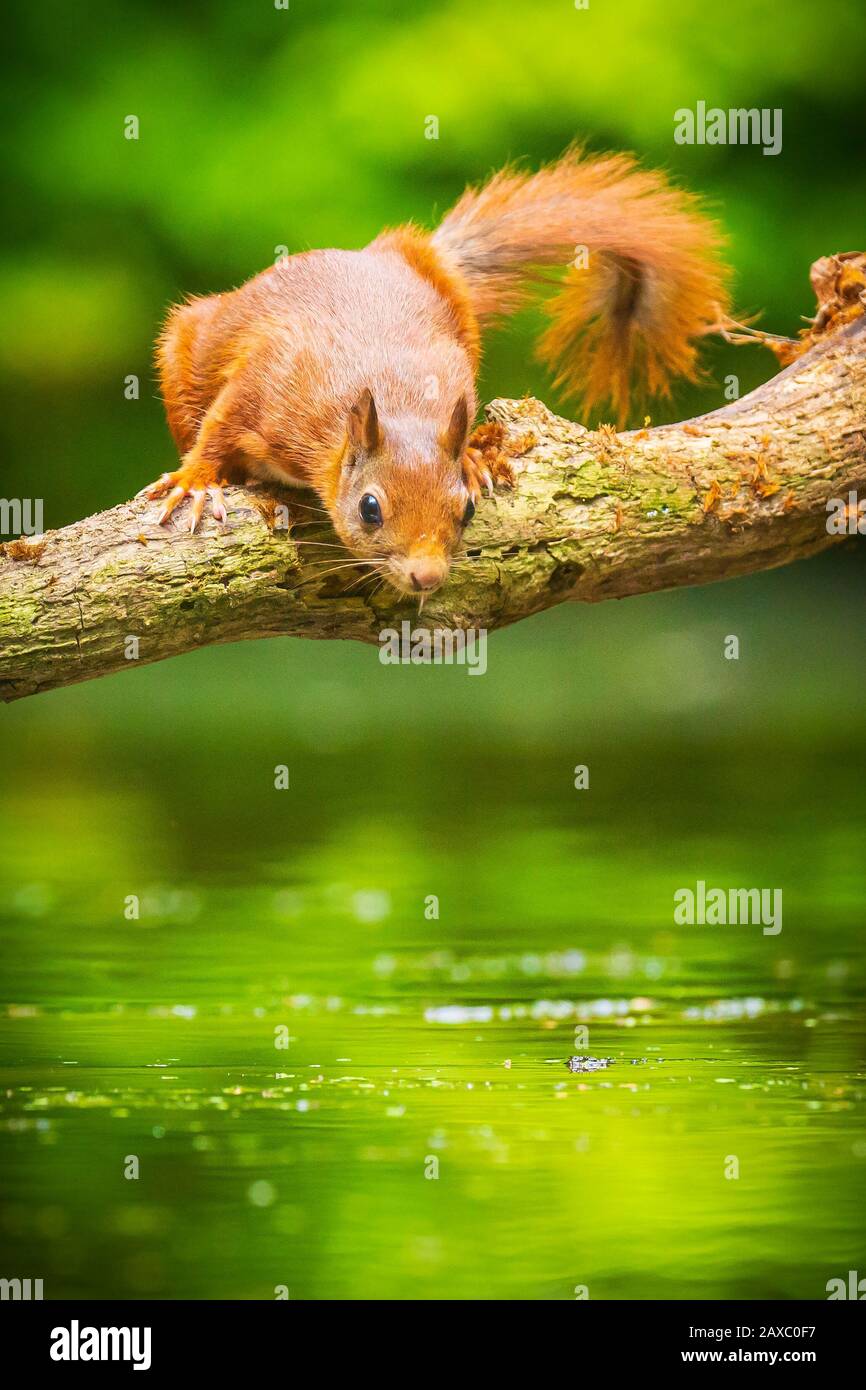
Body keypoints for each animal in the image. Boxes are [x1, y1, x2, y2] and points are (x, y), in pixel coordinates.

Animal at [144, 147, 729, 597]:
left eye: (466, 510)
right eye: (370, 508)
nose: (426, 577)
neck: (396, 399)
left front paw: (472, 456)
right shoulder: (271, 381)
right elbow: (220, 425)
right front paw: (197, 483)